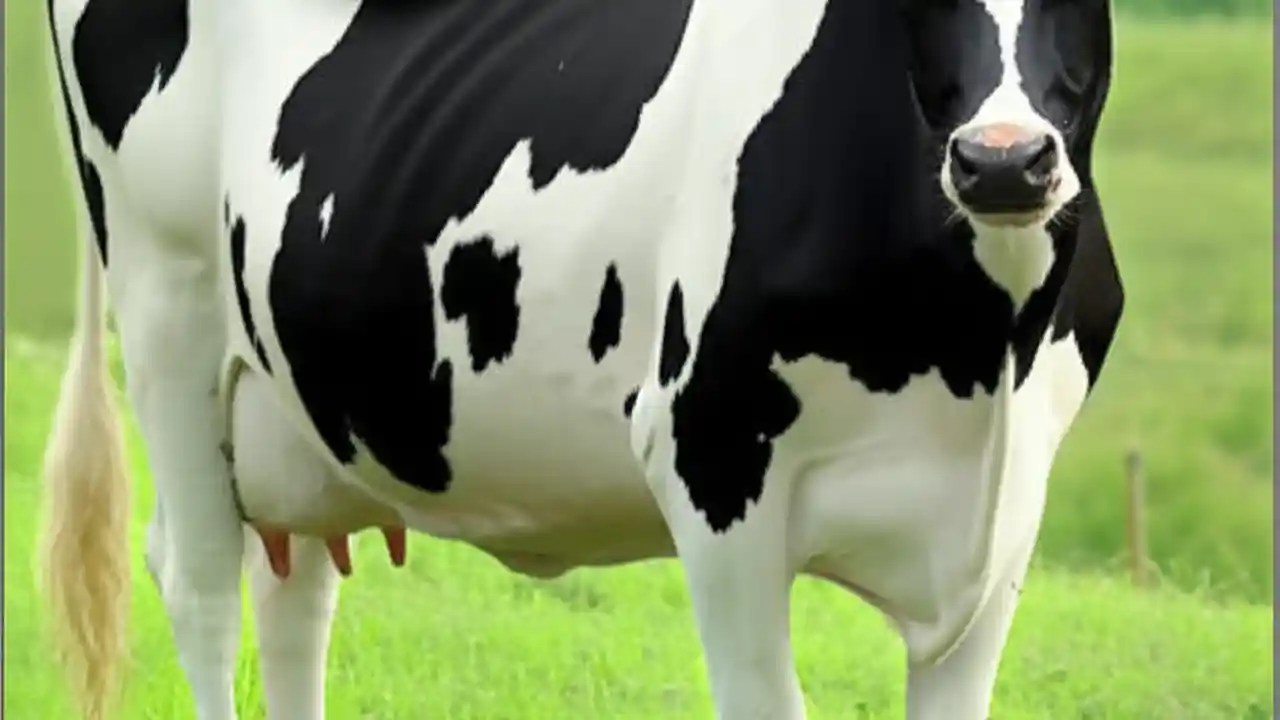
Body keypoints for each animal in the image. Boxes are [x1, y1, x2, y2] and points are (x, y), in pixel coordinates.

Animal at [37, 0, 1123, 718]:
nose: (1000, 158)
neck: (974, 358)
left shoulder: (999, 522)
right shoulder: (710, 461)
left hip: (293, 398)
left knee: (294, 591)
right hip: (165, 304)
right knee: (202, 584)